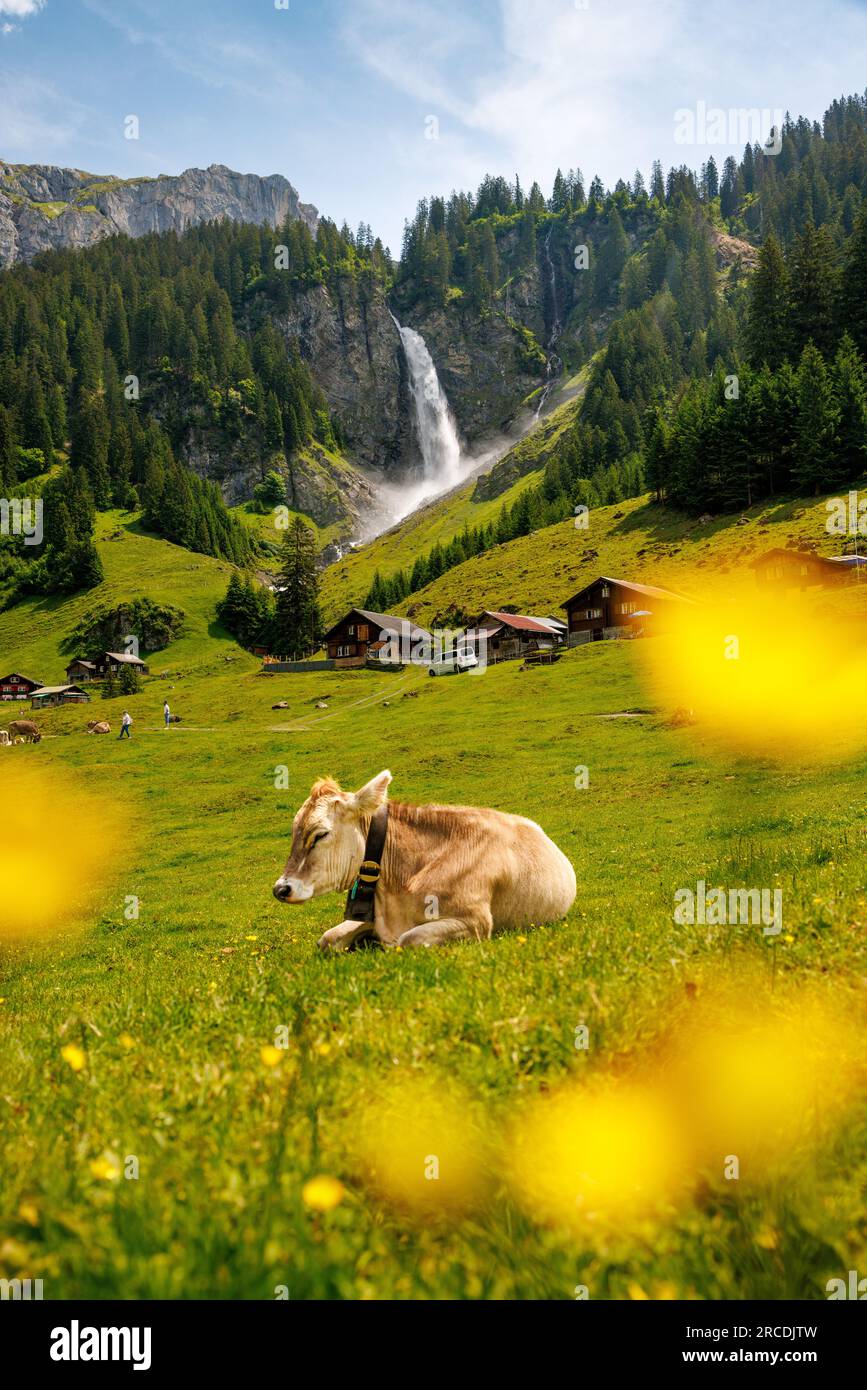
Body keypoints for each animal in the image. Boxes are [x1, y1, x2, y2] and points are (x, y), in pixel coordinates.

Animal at [272, 770, 577, 951]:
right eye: (294, 831)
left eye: (320, 834)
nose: (281, 889)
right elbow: (327, 939)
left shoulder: (475, 922)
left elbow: (409, 939)